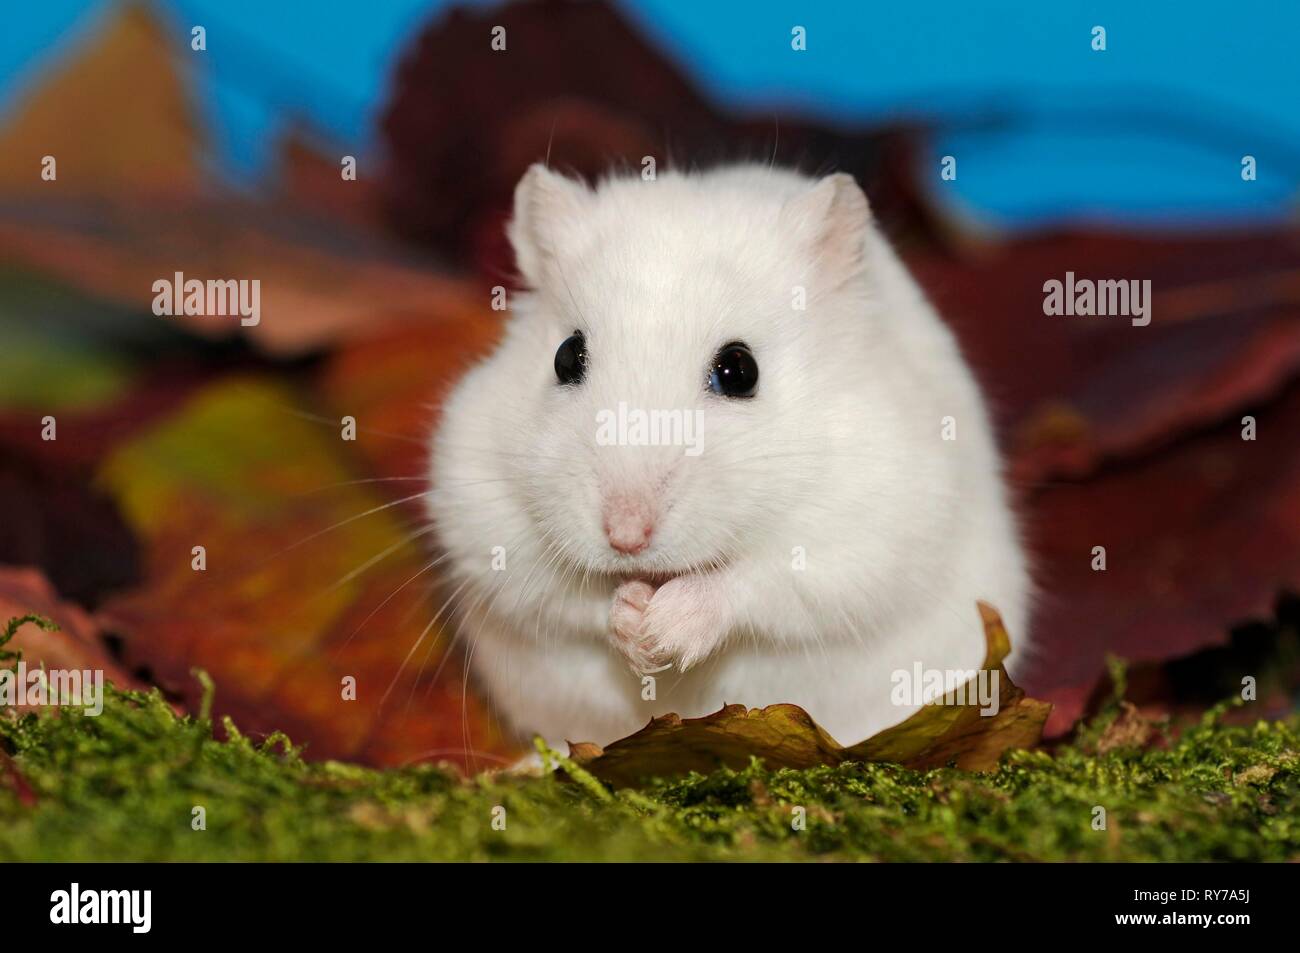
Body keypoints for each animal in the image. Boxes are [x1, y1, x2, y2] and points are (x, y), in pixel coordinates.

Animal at [427, 162, 1029, 751]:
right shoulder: (484, 520)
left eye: (740, 370)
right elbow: (573, 596)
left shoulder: (860, 529)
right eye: (565, 356)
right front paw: (635, 626)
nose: (626, 536)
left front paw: (665, 630)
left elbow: (755, 582)